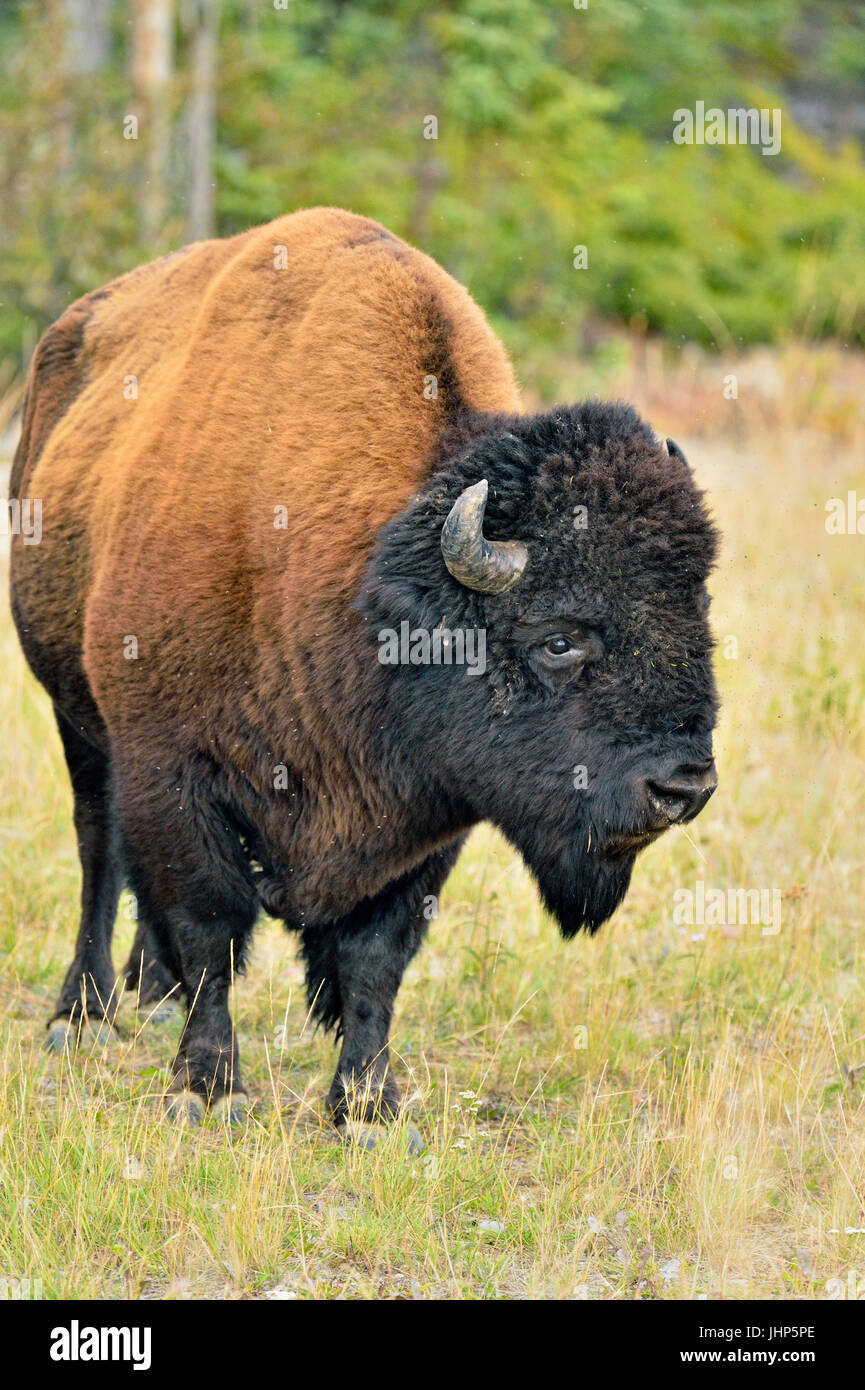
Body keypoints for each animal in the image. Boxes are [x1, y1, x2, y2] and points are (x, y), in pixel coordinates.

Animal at [9, 207, 718, 1148]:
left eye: (696, 611)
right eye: (559, 639)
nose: (683, 786)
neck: (362, 581)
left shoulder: (428, 818)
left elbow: (374, 958)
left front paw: (369, 1109)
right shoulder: (171, 768)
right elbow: (208, 923)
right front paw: (209, 1092)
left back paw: (151, 997)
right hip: (78, 718)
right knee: (100, 848)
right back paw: (81, 1016)